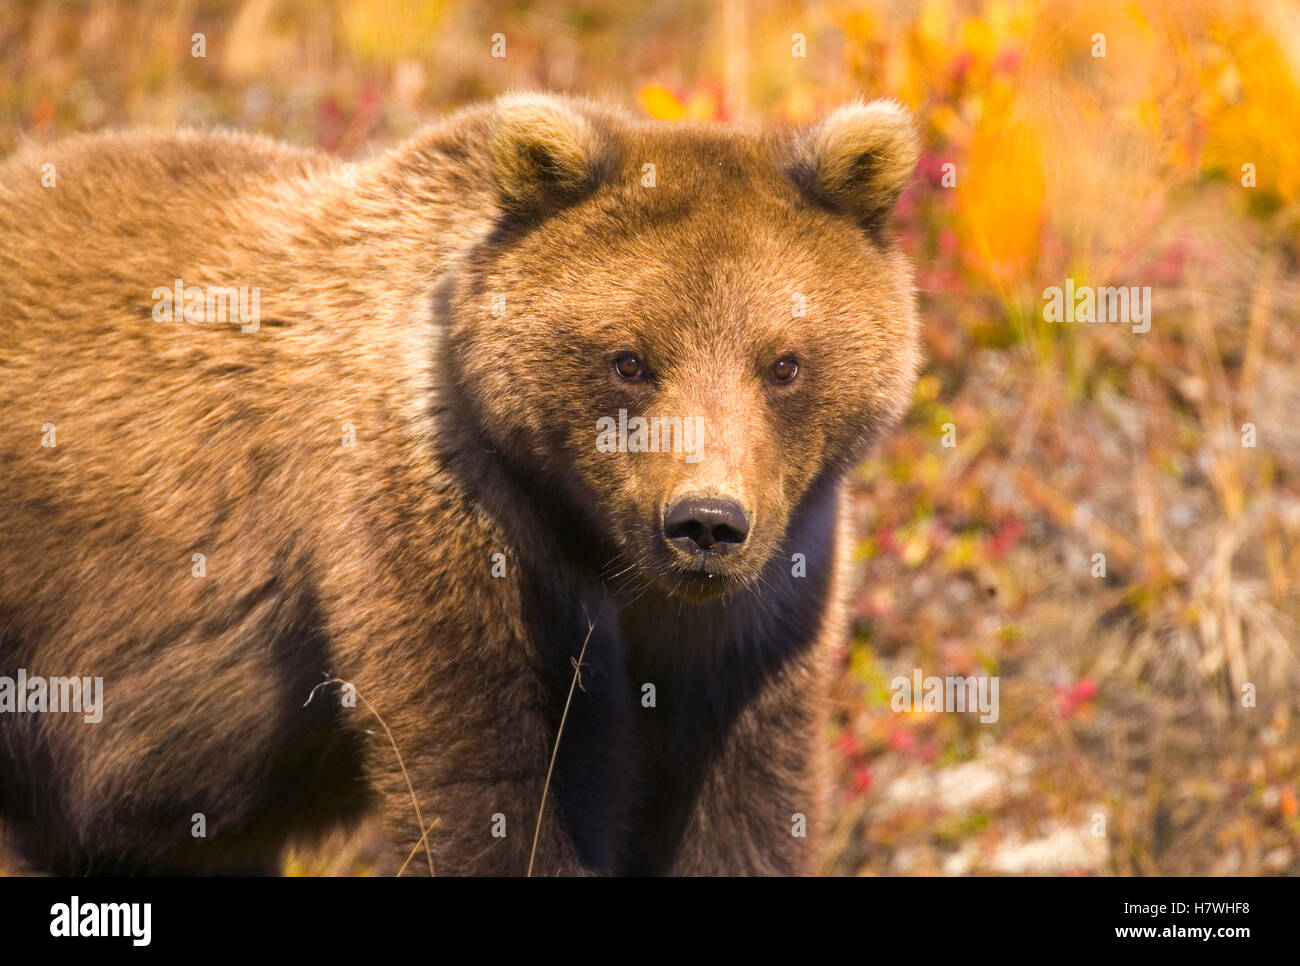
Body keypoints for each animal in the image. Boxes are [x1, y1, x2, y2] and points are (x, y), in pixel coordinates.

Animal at [0, 92, 921, 875]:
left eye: (784, 364)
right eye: (629, 359)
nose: (704, 521)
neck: (604, 544)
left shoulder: (760, 607)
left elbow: (738, 802)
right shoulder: (454, 530)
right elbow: (498, 789)